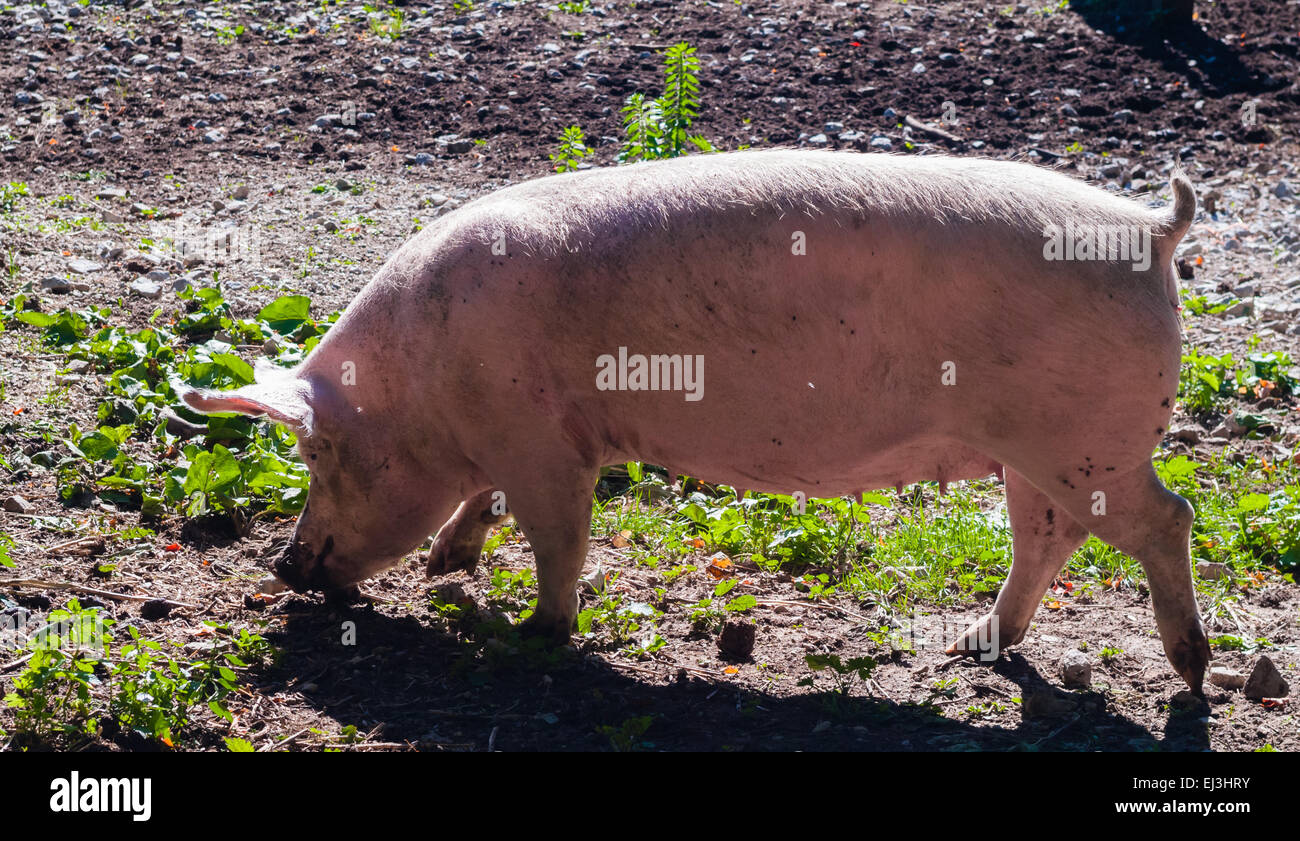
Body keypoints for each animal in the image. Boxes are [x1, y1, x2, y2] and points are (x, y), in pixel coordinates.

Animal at [181, 149, 1209, 692]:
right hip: (1038, 453)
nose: (284, 567)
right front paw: (446, 569)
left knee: (1167, 519)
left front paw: (532, 634)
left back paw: (1192, 672)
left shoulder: (545, 441)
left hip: (1089, 443)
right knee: (1047, 537)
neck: (428, 387)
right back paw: (972, 644)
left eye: (320, 452)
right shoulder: (518, 443)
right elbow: (485, 503)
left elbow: (558, 534)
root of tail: (1152, 230)